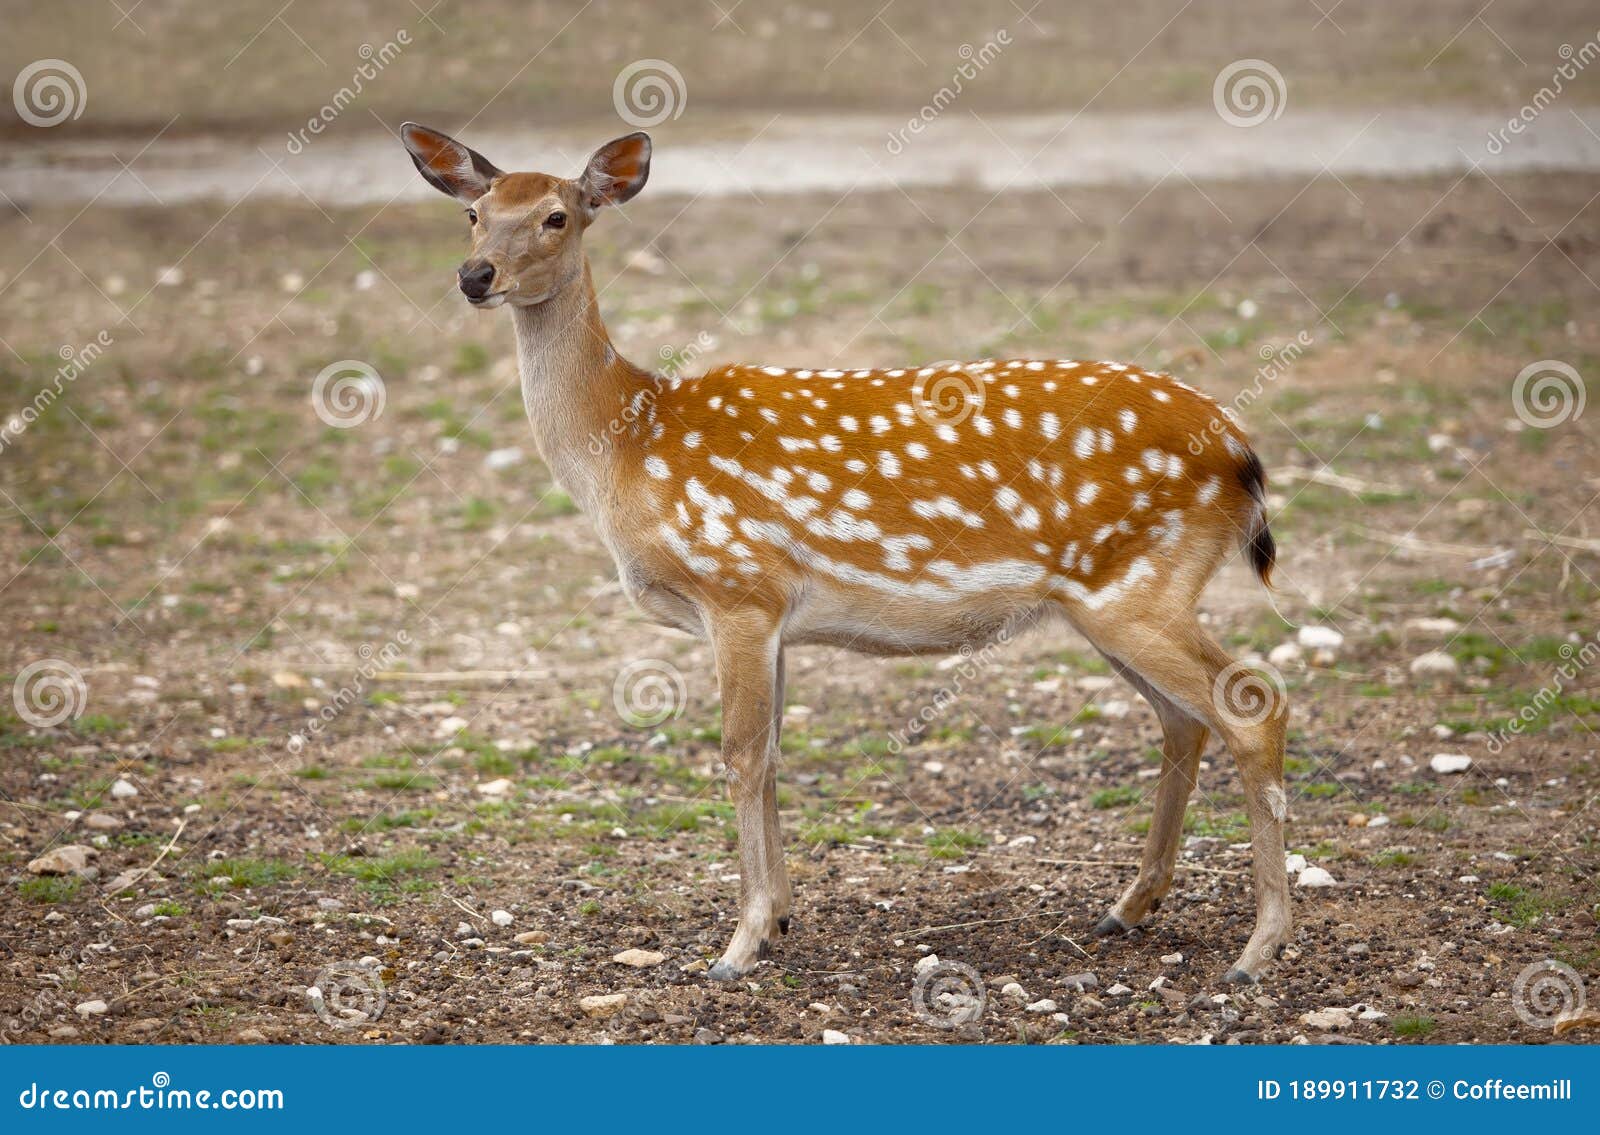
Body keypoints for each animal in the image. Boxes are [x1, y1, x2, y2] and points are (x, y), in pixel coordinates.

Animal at [398, 123, 1293, 985]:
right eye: (474, 212)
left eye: (557, 216)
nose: (474, 275)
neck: (626, 445)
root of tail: (1242, 452)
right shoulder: (774, 619)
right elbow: (772, 755)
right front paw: (781, 918)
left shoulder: (738, 585)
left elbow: (740, 754)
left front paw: (737, 946)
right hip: (1113, 595)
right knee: (1186, 719)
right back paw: (1129, 907)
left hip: (1135, 584)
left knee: (1252, 704)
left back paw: (1257, 950)